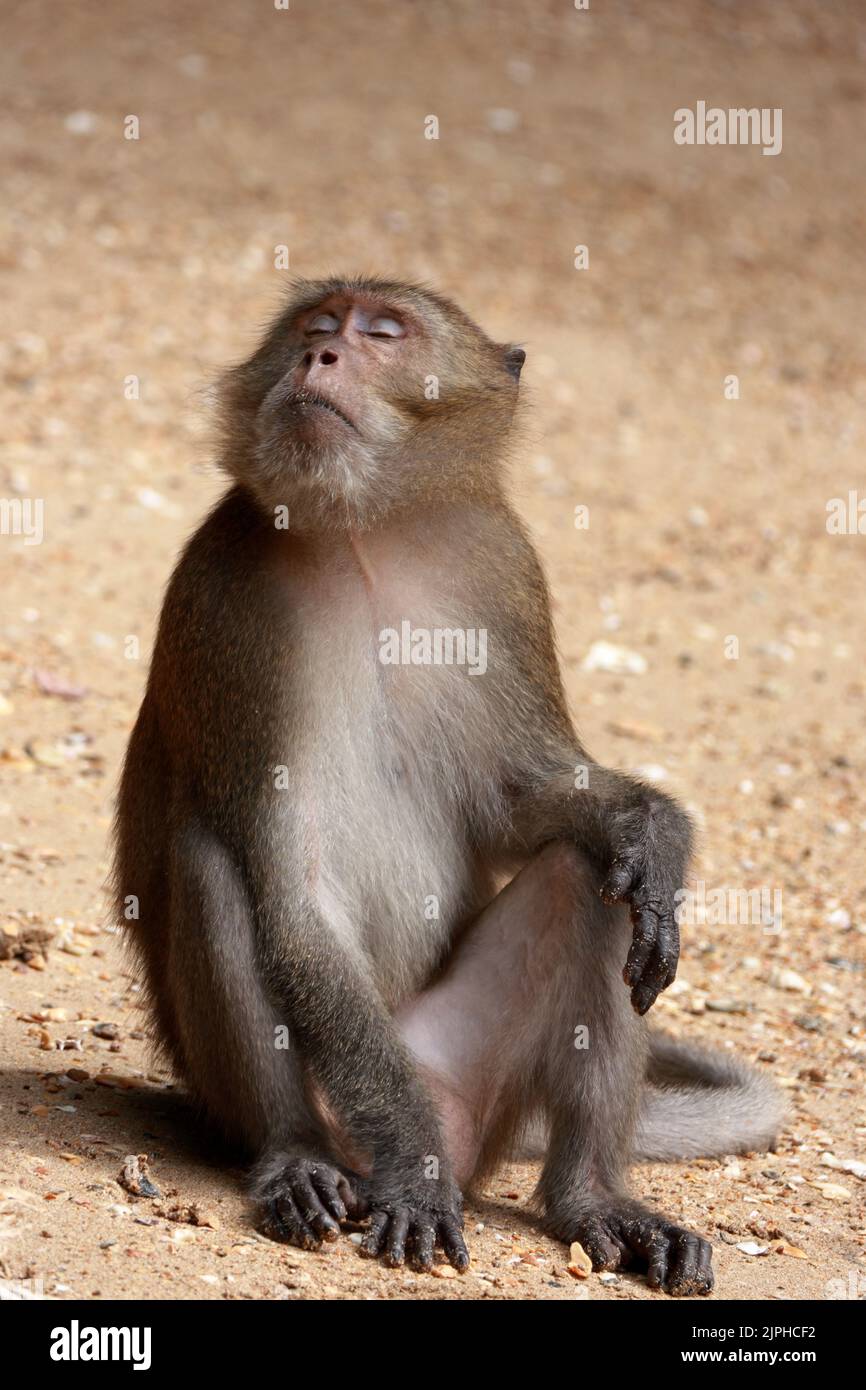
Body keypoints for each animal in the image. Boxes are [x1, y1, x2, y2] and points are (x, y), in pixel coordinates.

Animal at [114, 275, 784, 1296]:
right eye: (317, 327)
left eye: (383, 333)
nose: (321, 357)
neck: (365, 533)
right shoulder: (222, 602)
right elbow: (294, 896)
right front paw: (413, 1174)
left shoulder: (501, 570)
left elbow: (527, 803)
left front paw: (651, 830)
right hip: (321, 1101)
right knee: (214, 866)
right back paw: (305, 1156)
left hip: (476, 1073)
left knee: (589, 882)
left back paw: (595, 1198)